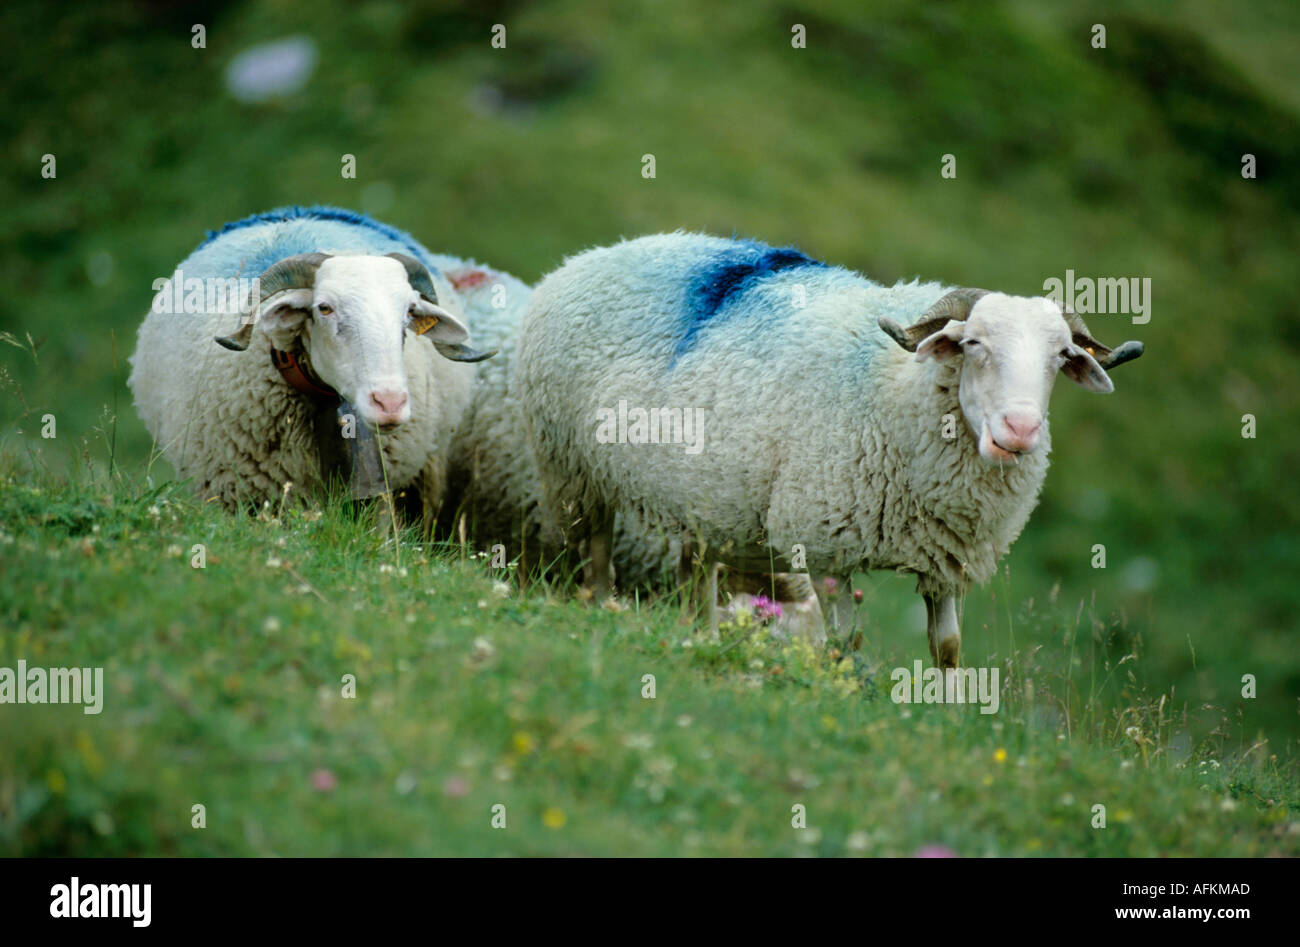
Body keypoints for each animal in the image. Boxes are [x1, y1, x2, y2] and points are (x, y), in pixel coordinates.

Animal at [516, 232, 1144, 666]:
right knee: (596, 561)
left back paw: (706, 641)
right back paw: (599, 613)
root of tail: (591, 255)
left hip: (708, 500)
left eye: (1061, 358)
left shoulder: (947, 561)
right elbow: (846, 640)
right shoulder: (822, 542)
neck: (896, 385)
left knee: (698, 578)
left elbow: (947, 647)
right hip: (572, 471)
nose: (1020, 429)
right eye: (971, 344)